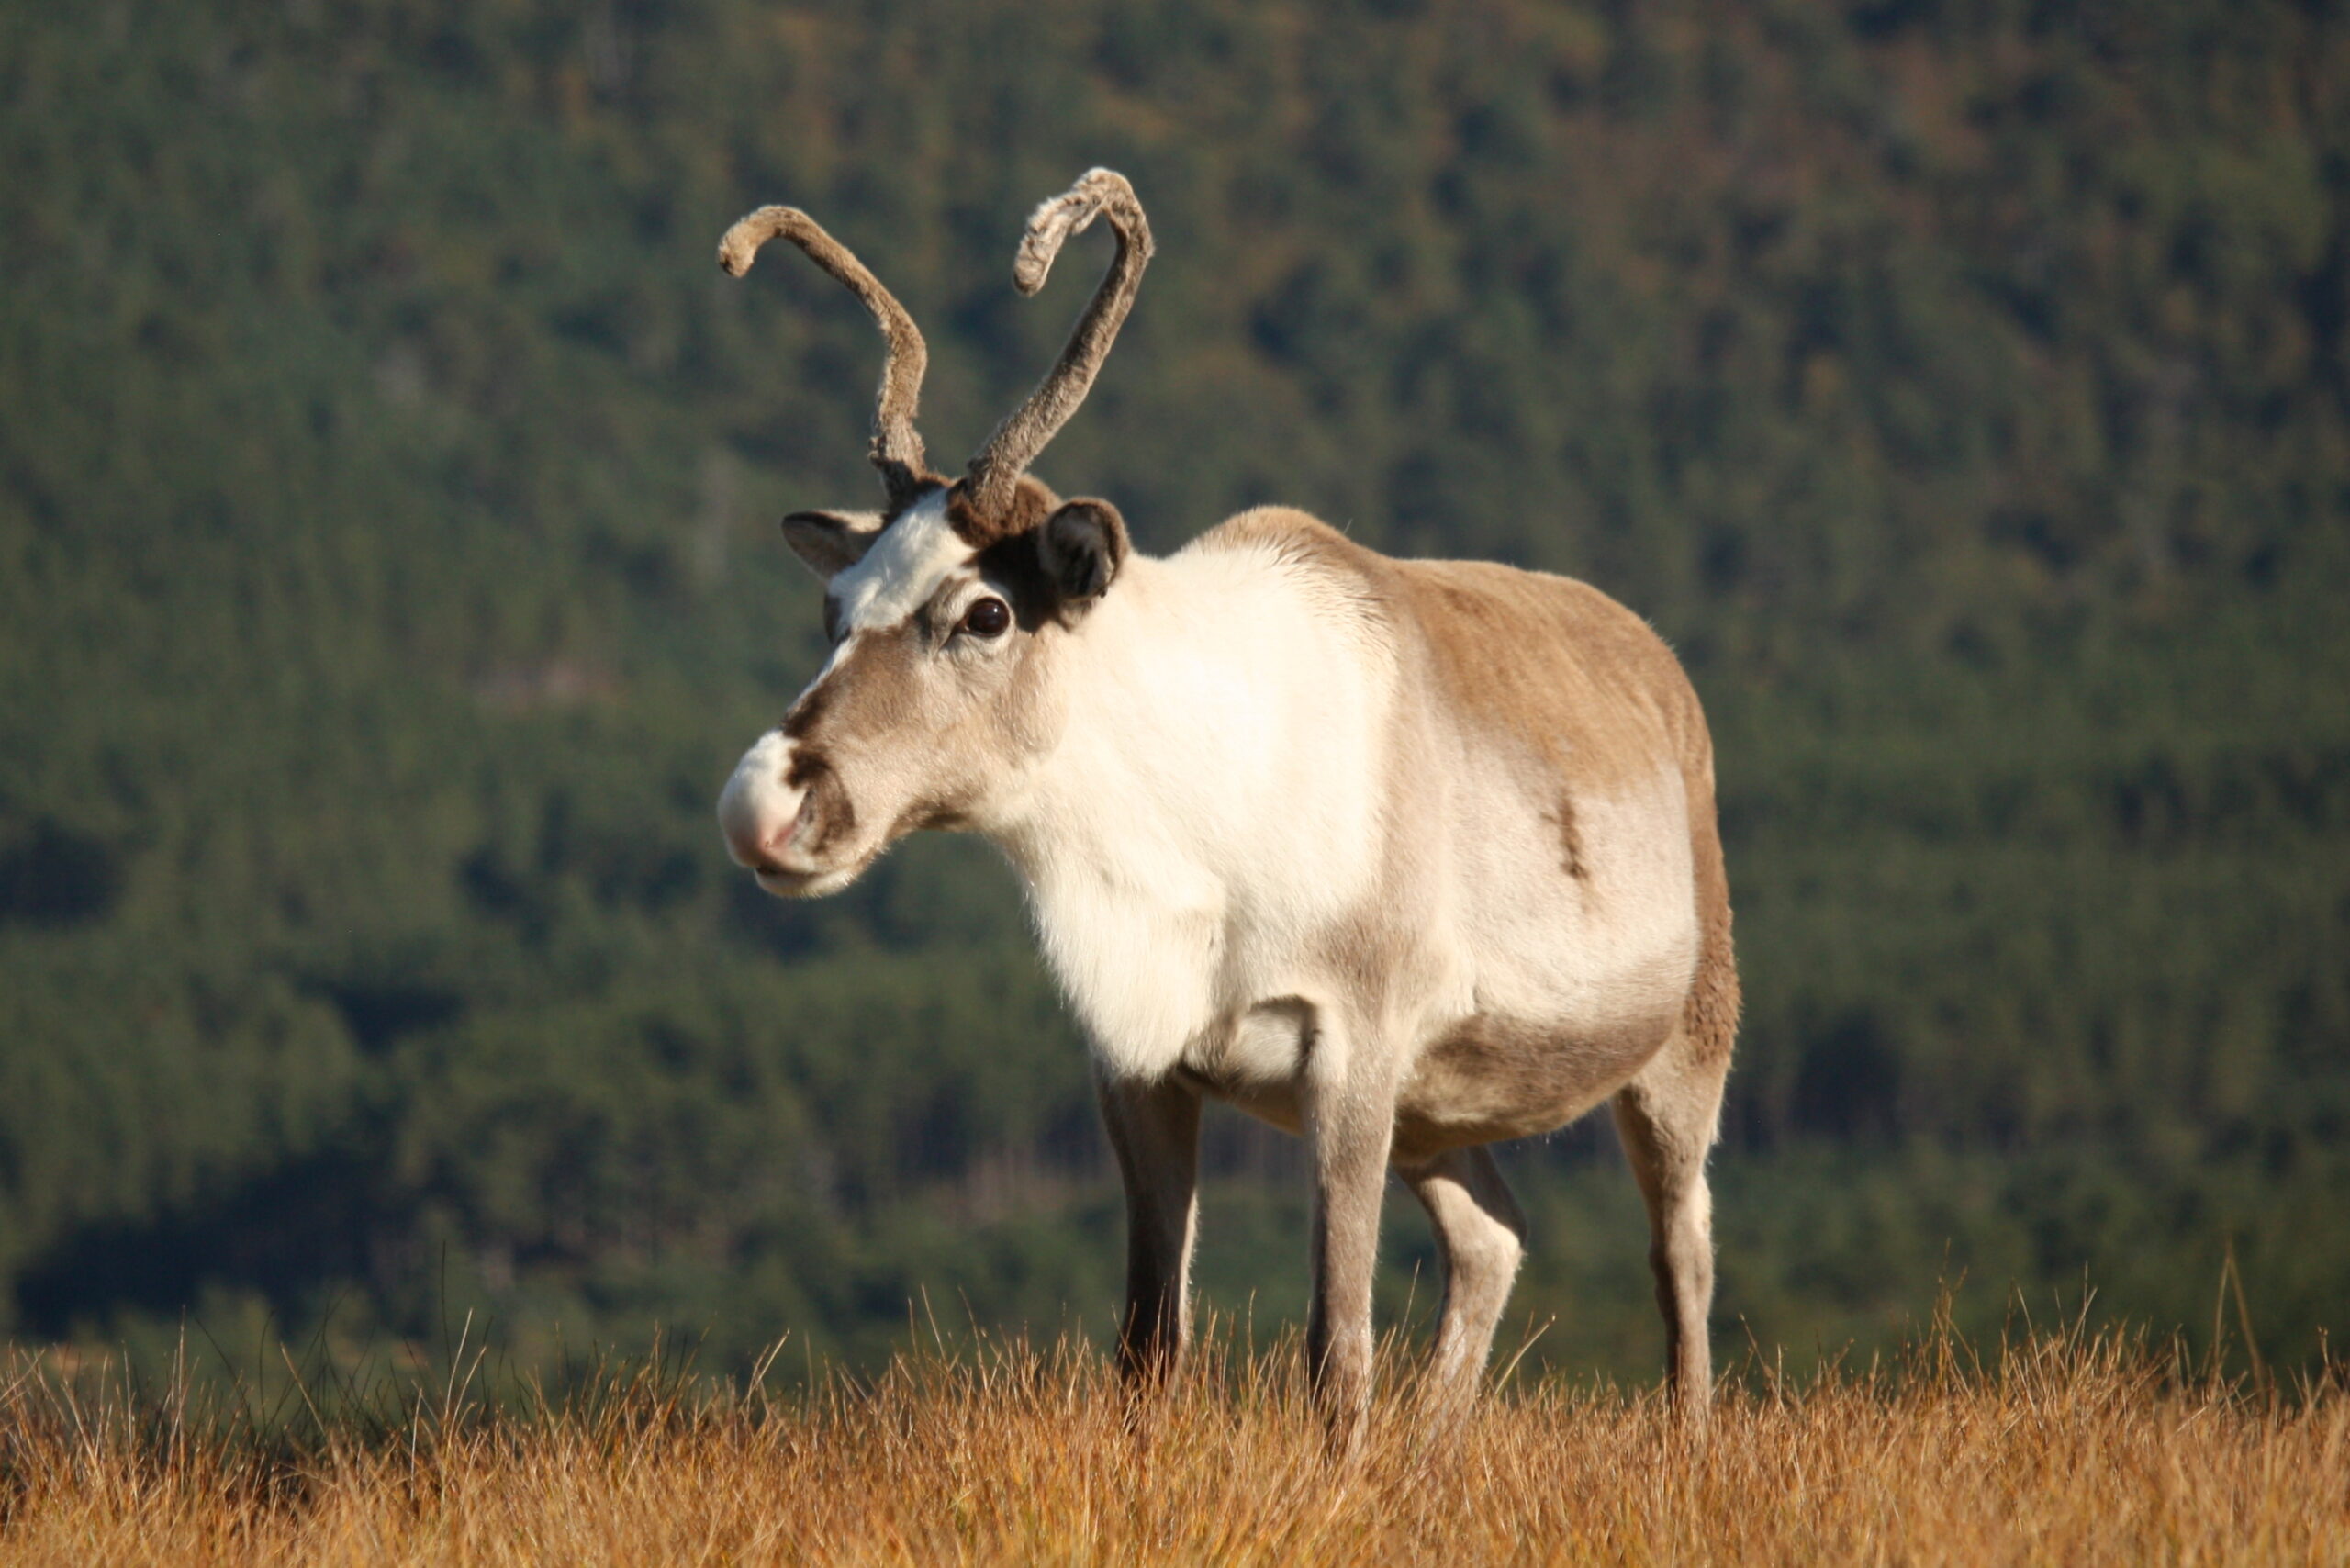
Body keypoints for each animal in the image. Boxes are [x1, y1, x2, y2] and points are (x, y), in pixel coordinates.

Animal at [714, 170, 1738, 1434]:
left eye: (985, 611)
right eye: (837, 605)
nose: (766, 802)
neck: (1194, 828)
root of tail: (1656, 665)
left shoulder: (1353, 1050)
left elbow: (1336, 1349)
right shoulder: (1141, 1068)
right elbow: (1148, 1345)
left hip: (1684, 1047)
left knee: (1681, 1249)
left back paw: (1685, 1437)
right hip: (1441, 1113)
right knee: (1493, 1235)